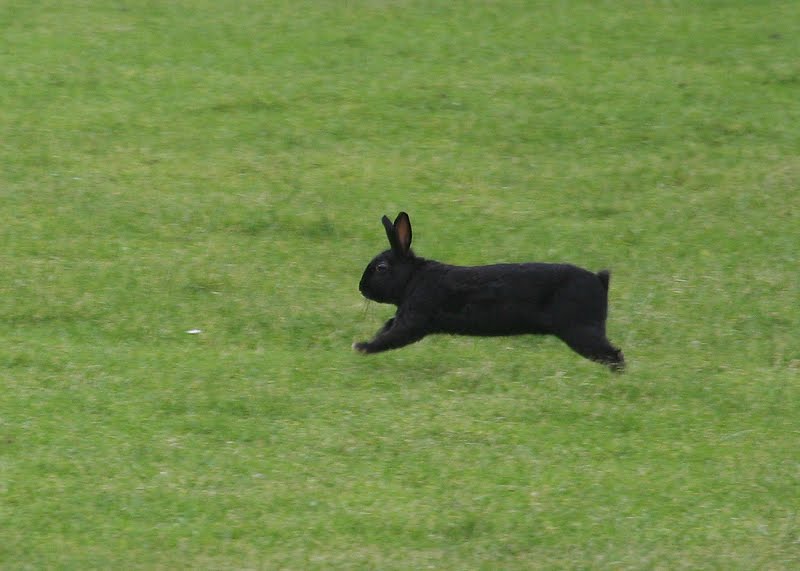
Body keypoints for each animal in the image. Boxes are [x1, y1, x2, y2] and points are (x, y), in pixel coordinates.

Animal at [353, 212, 625, 371]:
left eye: (381, 268)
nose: (361, 287)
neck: (412, 278)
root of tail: (600, 281)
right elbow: (387, 328)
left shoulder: (414, 319)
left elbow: (390, 338)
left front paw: (362, 347)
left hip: (580, 329)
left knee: (613, 354)